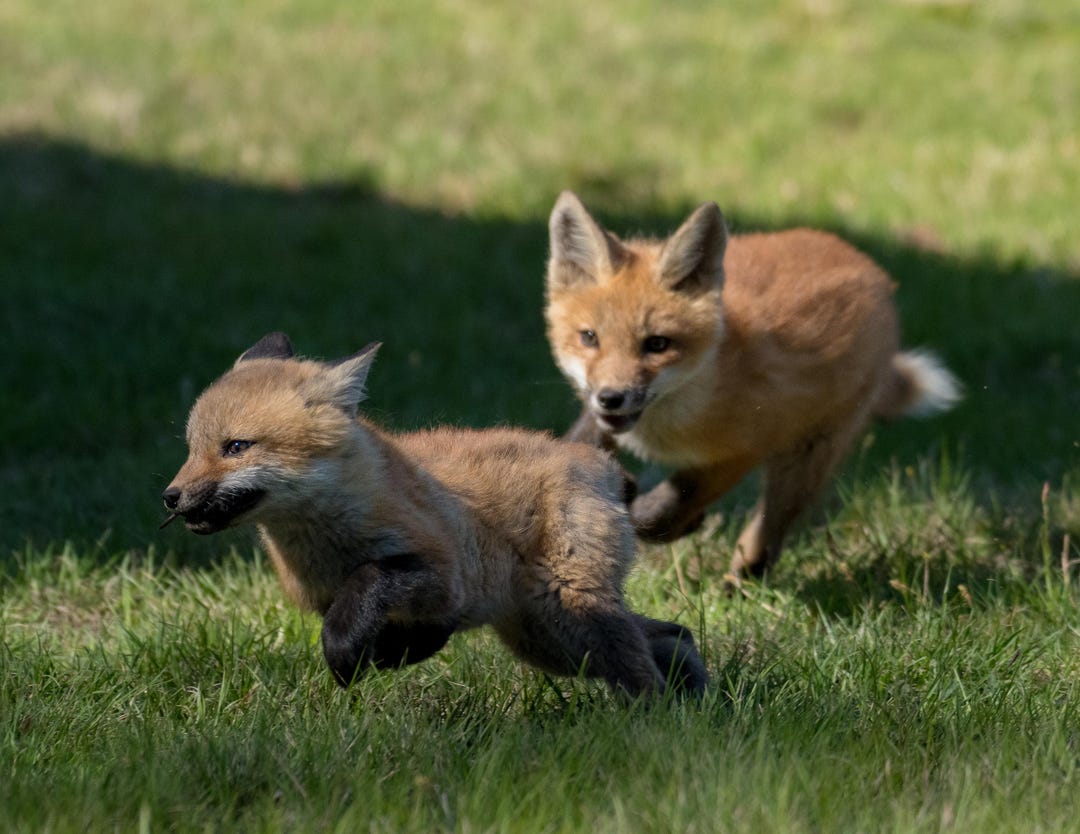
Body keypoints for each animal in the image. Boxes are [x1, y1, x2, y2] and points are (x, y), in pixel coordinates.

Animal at [161, 332, 707, 698]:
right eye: (191, 449)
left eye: (235, 447)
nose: (171, 497)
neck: (325, 547)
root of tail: (597, 461)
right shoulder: (348, 602)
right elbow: (406, 638)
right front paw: (381, 657)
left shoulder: (441, 575)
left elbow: (371, 586)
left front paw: (345, 658)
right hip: (547, 640)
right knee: (670, 634)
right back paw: (694, 698)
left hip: (571, 614)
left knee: (641, 663)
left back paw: (655, 718)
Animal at [544, 191, 961, 579]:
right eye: (589, 338)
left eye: (657, 344)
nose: (611, 398)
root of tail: (867, 265)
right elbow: (580, 448)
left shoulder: (750, 443)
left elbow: (671, 501)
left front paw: (658, 516)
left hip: (807, 458)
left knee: (767, 532)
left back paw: (743, 579)